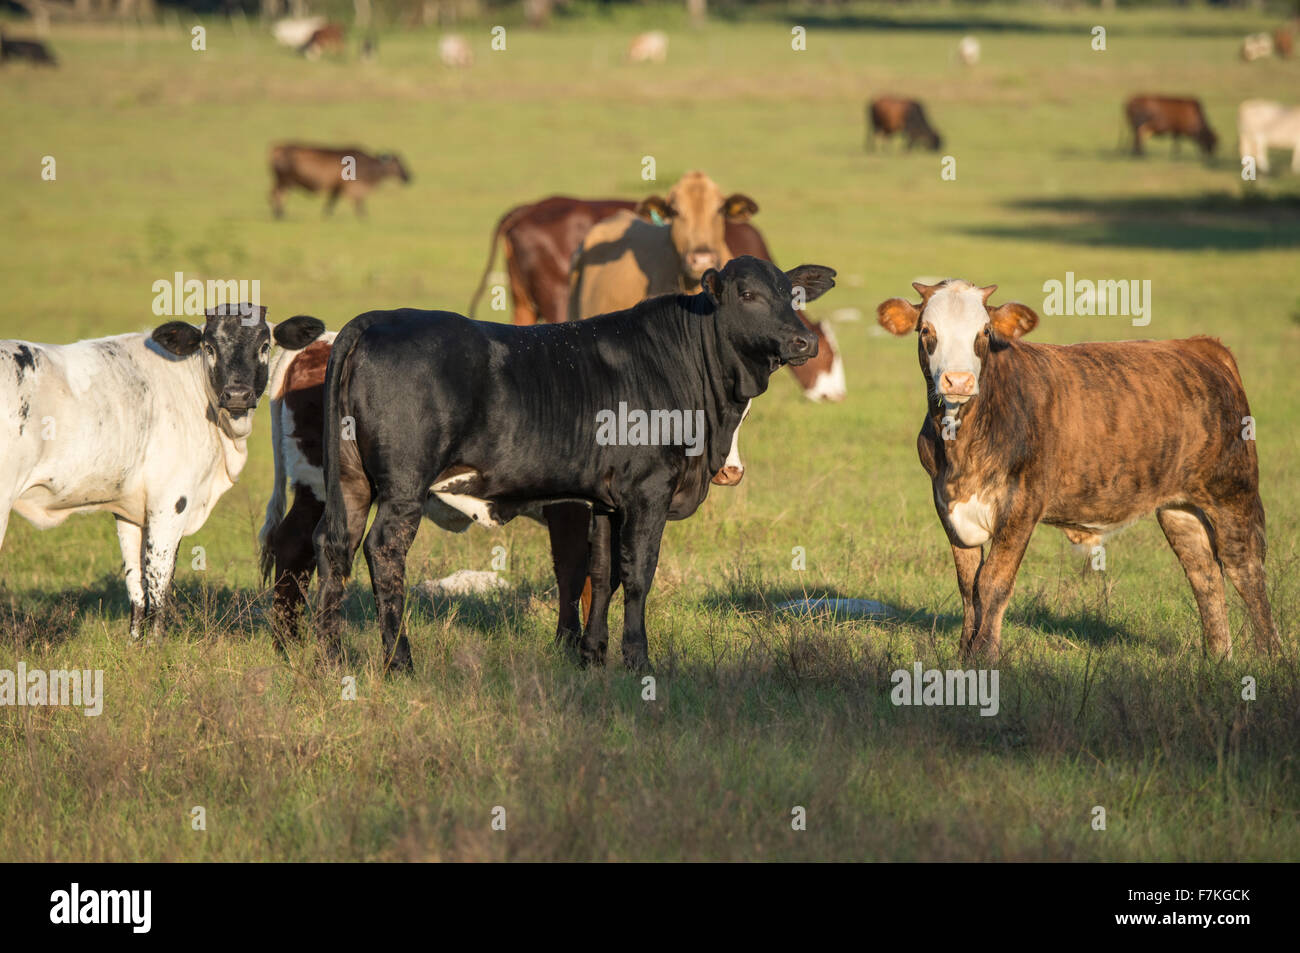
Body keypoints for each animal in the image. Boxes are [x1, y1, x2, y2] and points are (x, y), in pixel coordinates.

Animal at [0, 307, 320, 641]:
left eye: (264, 346)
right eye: (209, 347)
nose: (237, 395)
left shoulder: (129, 510)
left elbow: (136, 585)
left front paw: (136, 643)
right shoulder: (170, 503)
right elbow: (159, 583)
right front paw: (156, 643)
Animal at [268, 144, 411, 219]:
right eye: (397, 164)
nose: (409, 177)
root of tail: (276, 148)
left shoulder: (338, 188)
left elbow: (332, 203)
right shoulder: (346, 186)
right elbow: (354, 203)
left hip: (283, 181)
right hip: (284, 180)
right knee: (276, 194)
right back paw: (279, 214)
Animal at [313, 257, 836, 672]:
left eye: (793, 295)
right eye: (747, 294)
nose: (803, 342)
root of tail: (380, 319)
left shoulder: (606, 500)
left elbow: (602, 573)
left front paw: (592, 655)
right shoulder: (648, 490)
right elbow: (638, 573)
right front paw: (638, 658)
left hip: (351, 481)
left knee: (335, 544)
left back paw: (329, 657)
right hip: (404, 483)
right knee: (382, 550)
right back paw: (399, 660)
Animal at [876, 279, 1280, 661]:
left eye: (985, 332)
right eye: (926, 331)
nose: (958, 381)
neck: (963, 446)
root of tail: (1200, 346)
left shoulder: (1022, 504)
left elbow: (993, 582)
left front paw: (985, 656)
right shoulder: (948, 504)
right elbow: (967, 585)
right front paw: (963, 654)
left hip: (1232, 489)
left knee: (1245, 567)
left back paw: (1268, 658)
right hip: (1178, 506)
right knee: (1204, 572)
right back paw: (1219, 657)